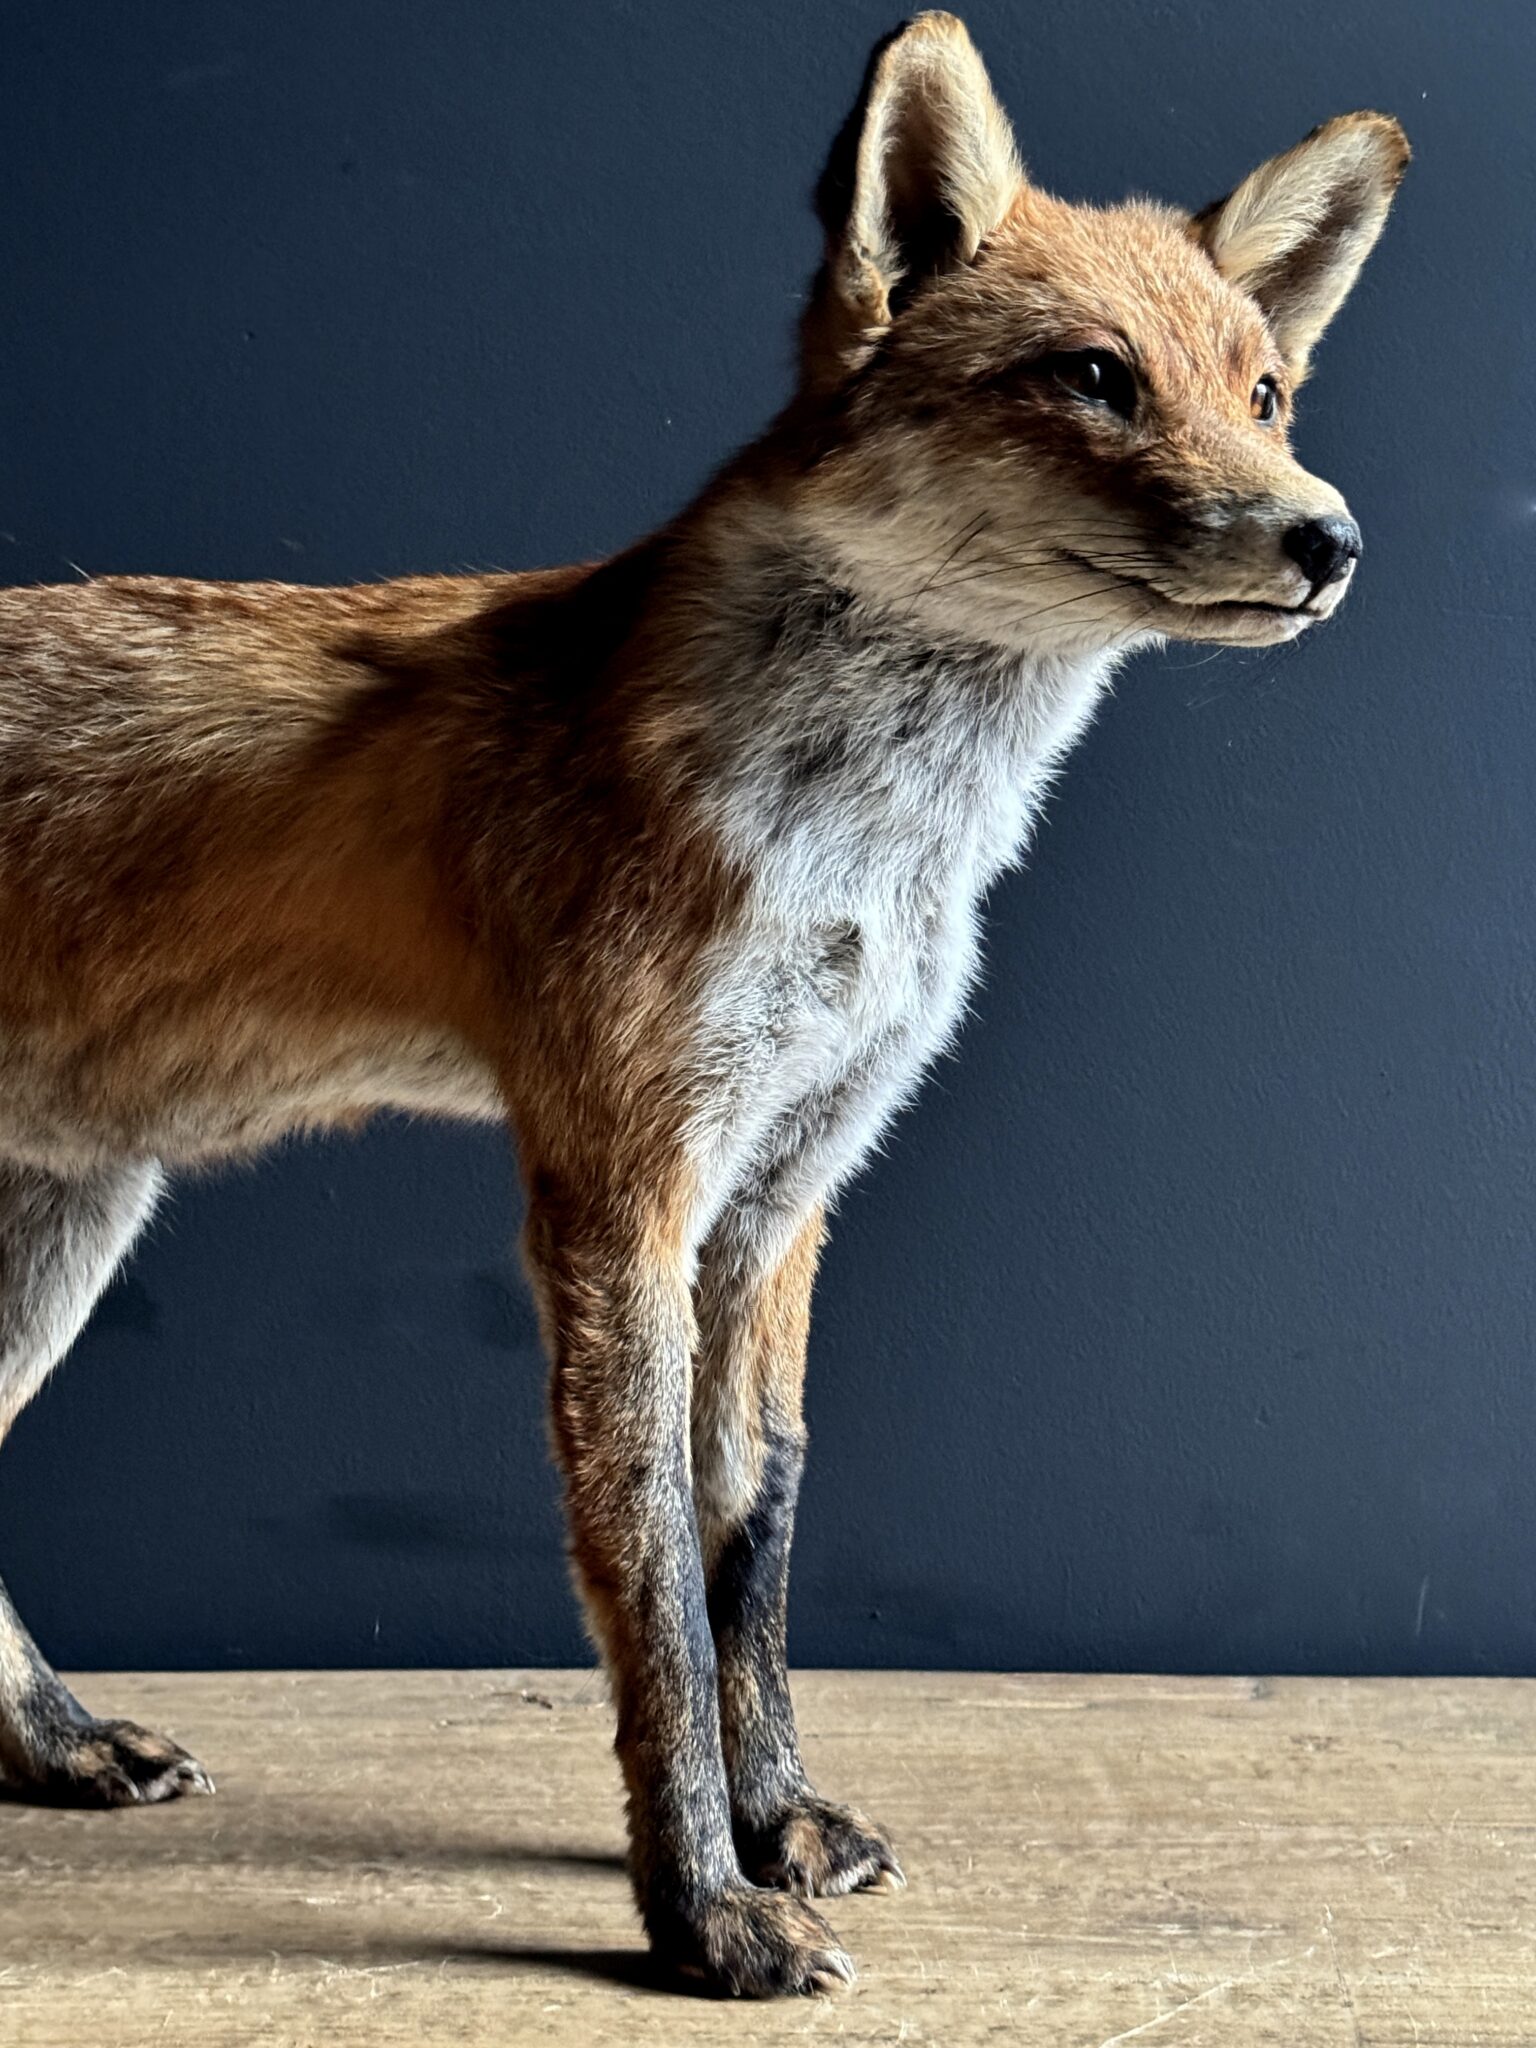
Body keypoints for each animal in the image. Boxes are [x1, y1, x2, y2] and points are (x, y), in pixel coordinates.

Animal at [0, 10, 1406, 2000]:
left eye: (1267, 392)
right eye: (1092, 379)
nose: (1325, 539)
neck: (867, 846)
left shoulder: (784, 1191)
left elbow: (762, 1533)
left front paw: (778, 1817)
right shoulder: (617, 1191)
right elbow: (655, 1572)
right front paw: (703, 1910)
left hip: (71, 1217)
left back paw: (49, 1742)